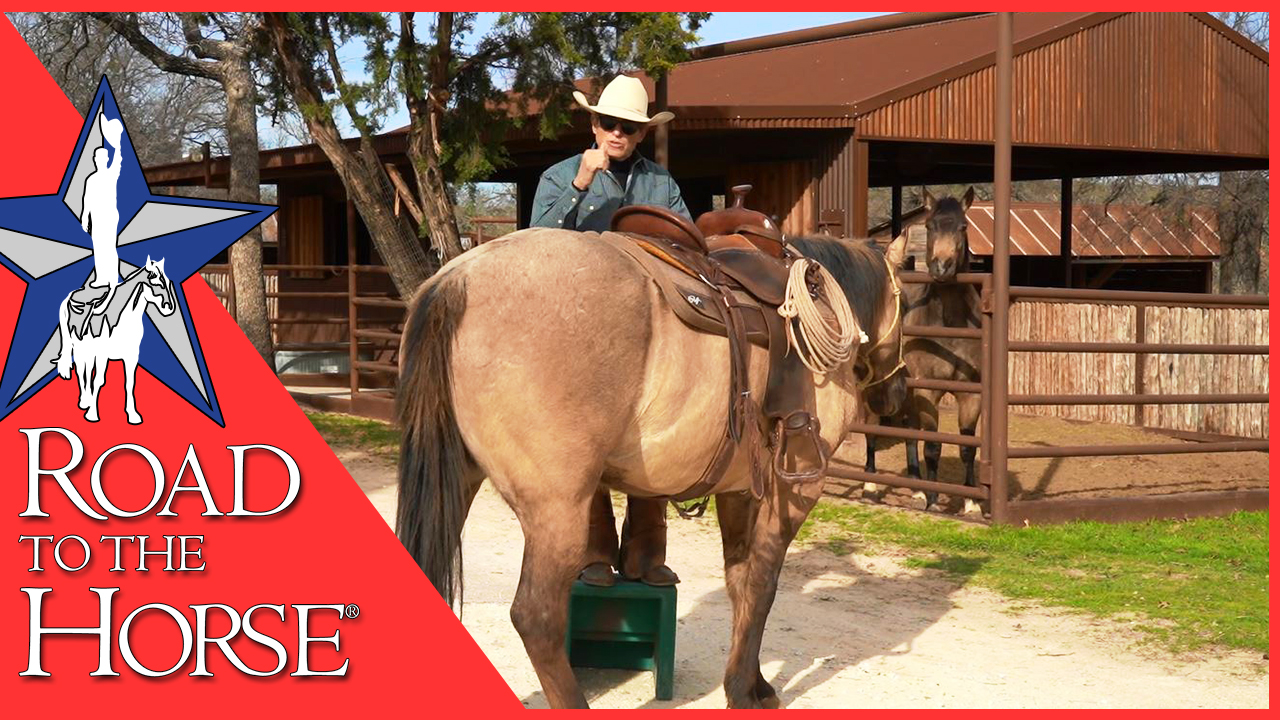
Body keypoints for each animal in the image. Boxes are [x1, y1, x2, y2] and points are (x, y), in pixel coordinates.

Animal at [55, 256, 176, 424]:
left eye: (169, 282)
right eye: (156, 282)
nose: (169, 308)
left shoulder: (132, 356)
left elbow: (130, 383)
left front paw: (133, 415)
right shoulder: (102, 355)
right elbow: (98, 380)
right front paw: (92, 414)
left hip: (89, 351)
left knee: (87, 370)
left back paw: (87, 400)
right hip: (78, 347)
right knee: (80, 370)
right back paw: (84, 401)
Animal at [395, 228, 909, 708]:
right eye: (907, 301)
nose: (897, 391)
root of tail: (456, 279)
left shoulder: (740, 491)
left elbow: (740, 583)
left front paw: (754, 682)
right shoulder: (797, 489)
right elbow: (763, 585)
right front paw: (742, 692)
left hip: (460, 482)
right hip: (557, 509)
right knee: (536, 617)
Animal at [865, 188, 983, 512]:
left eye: (962, 227)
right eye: (930, 226)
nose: (941, 267)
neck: (951, 325)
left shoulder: (971, 393)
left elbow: (968, 448)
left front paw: (972, 503)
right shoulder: (929, 392)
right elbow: (932, 447)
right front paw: (932, 501)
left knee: (908, 431)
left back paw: (916, 487)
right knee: (872, 428)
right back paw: (869, 485)